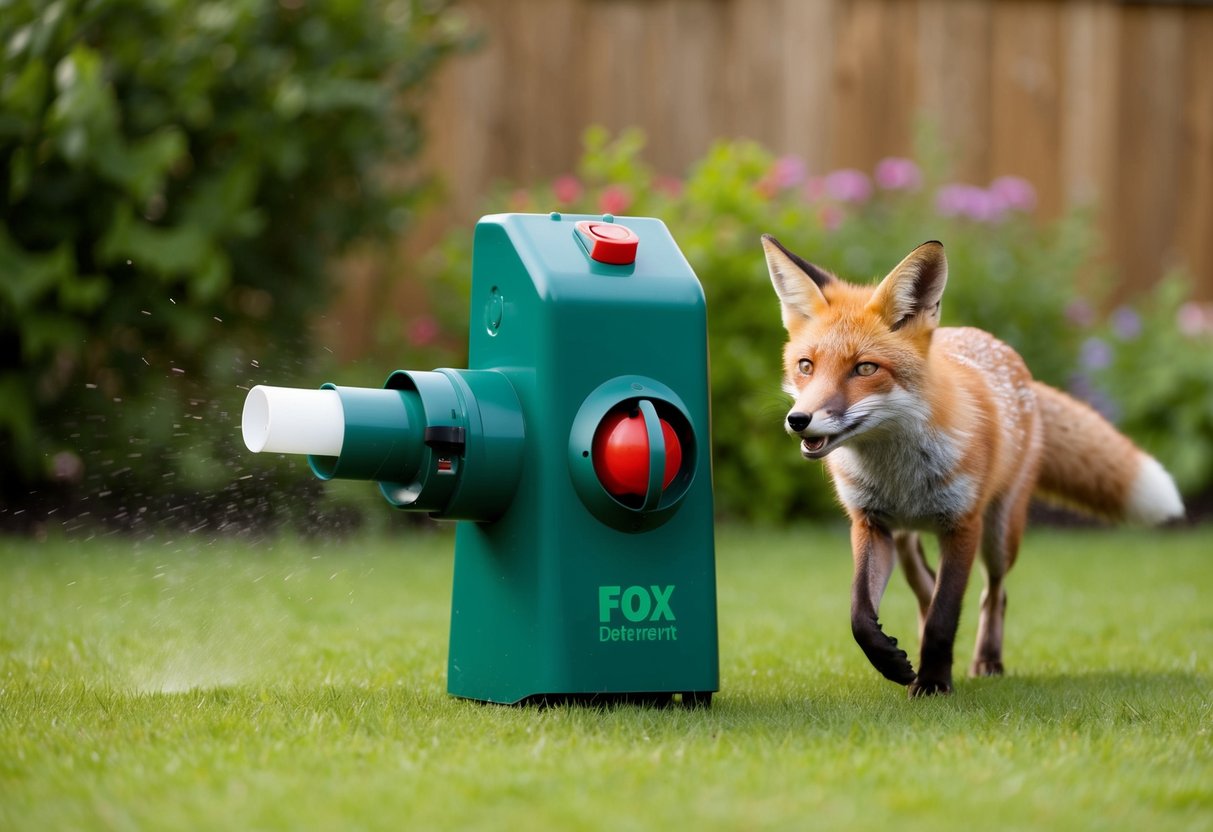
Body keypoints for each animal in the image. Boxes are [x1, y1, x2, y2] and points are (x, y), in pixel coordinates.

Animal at [762, 235, 1185, 697]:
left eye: (865, 368)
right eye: (806, 366)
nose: (798, 420)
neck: (899, 475)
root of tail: (1007, 354)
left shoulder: (963, 525)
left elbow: (945, 616)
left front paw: (932, 683)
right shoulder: (870, 524)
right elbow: (860, 614)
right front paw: (891, 661)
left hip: (1000, 535)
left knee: (993, 594)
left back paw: (987, 659)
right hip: (906, 539)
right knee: (925, 586)